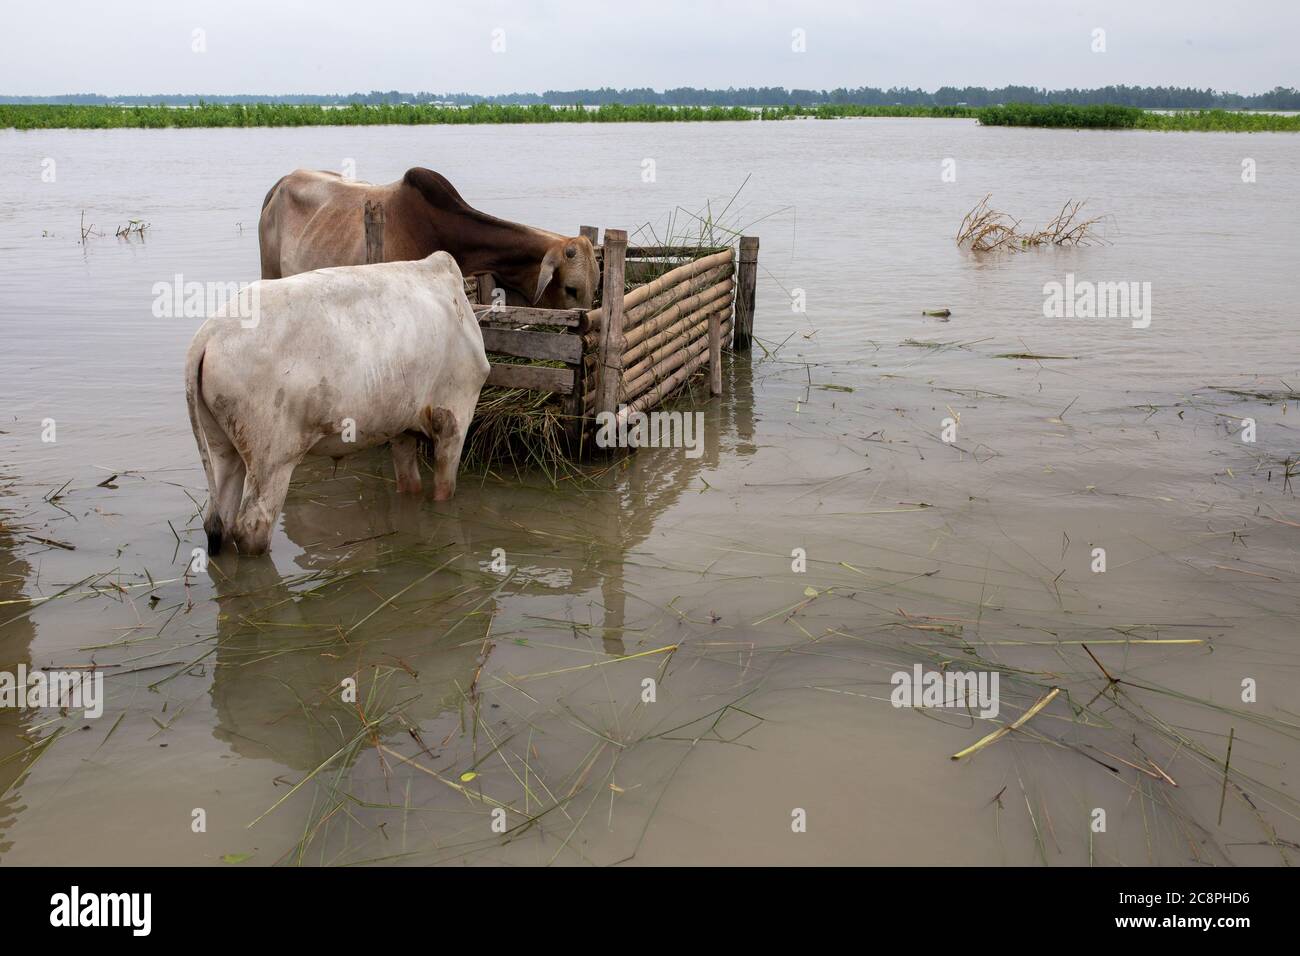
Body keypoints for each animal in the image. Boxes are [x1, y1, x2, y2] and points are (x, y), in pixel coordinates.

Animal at [184, 252, 490, 556]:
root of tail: (208, 334)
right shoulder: (454, 416)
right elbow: (444, 490)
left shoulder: (401, 426)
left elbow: (409, 484)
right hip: (272, 457)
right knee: (251, 527)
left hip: (222, 444)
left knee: (218, 519)